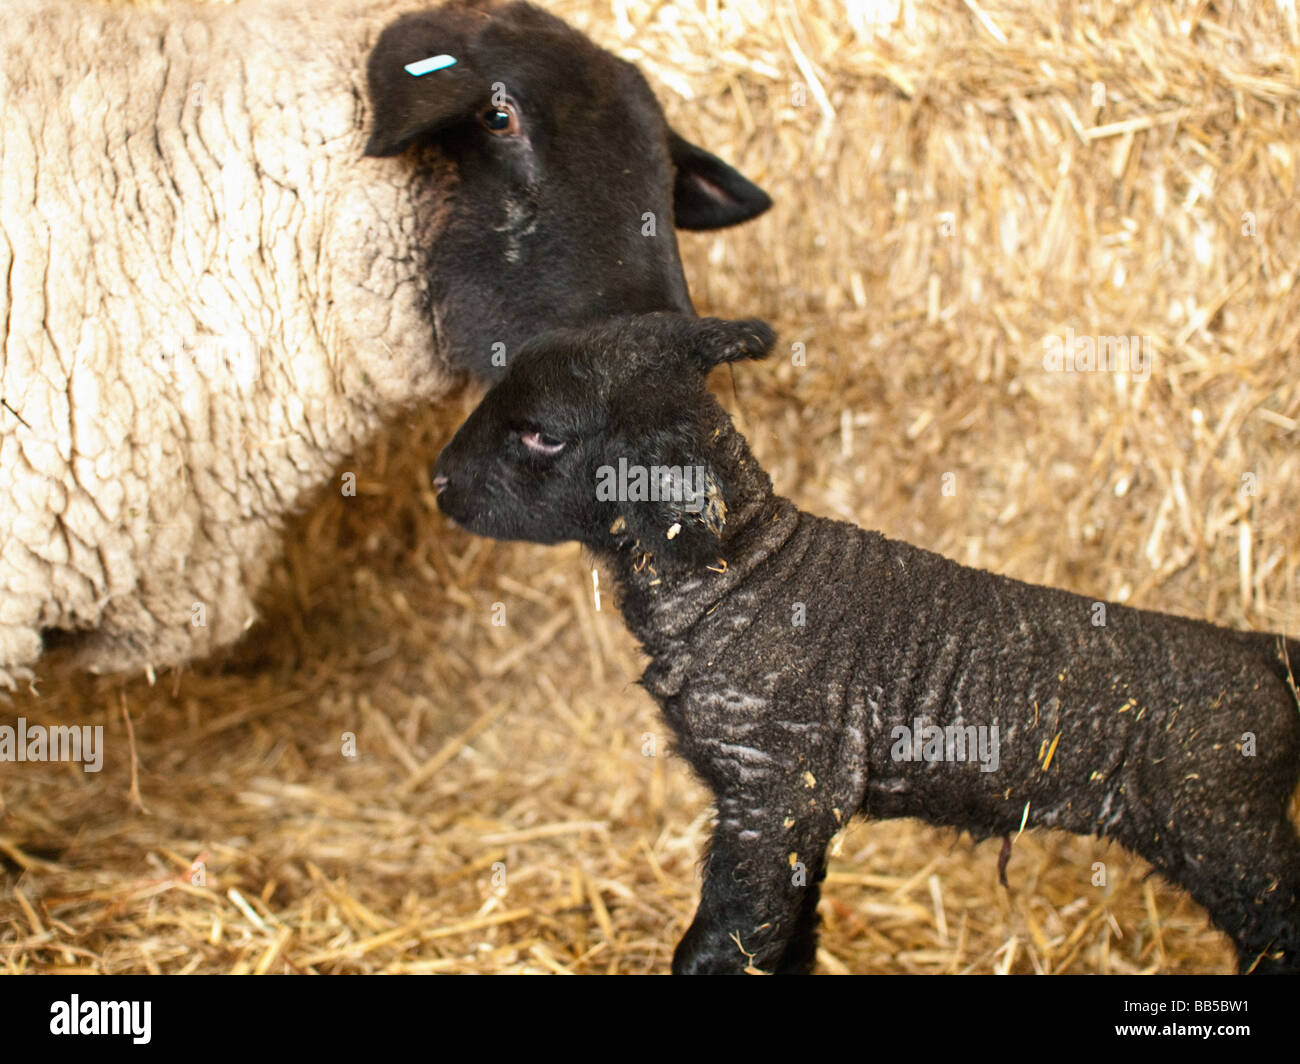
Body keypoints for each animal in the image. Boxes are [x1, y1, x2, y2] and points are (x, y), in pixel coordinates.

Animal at [433, 312, 1300, 974]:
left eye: (540, 436)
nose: (438, 481)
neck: (739, 573)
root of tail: (1265, 651)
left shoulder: (772, 794)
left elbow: (724, 945)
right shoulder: (799, 810)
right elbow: (790, 939)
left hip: (1229, 832)